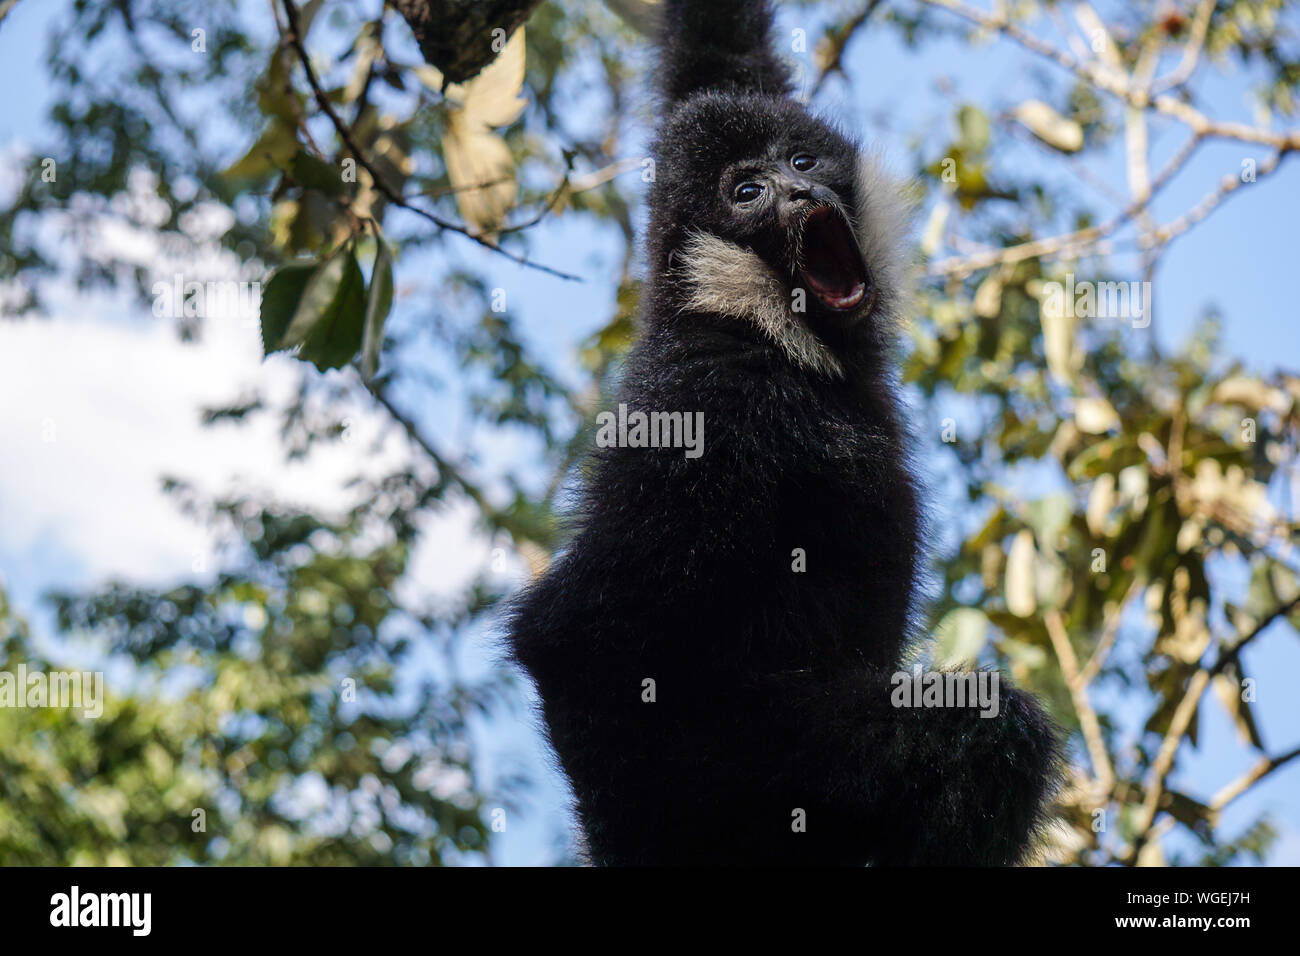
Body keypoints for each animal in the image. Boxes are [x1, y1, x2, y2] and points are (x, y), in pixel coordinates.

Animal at [507, 0, 1062, 866]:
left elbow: (719, 55)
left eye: (801, 159)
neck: (766, 330)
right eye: (748, 190)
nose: (801, 193)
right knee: (990, 733)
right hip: (765, 765)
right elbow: (572, 636)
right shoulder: (714, 408)